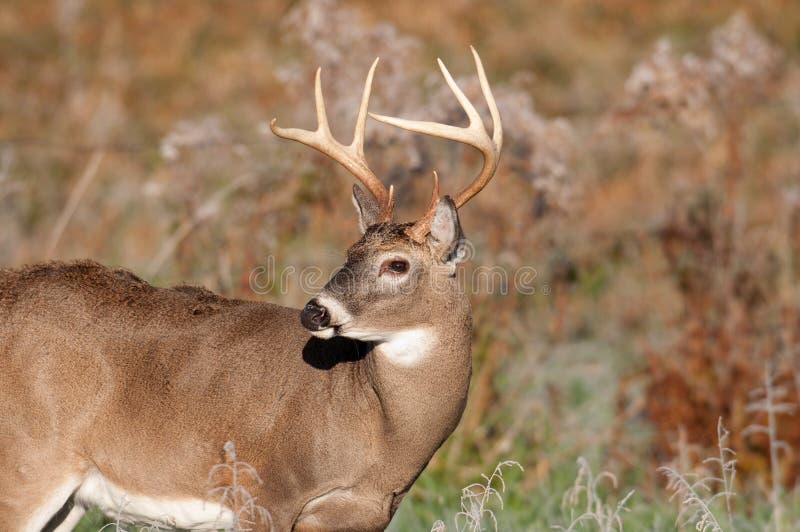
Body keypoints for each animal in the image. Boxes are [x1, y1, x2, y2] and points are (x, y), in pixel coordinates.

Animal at [0, 47, 502, 532]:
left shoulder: (364, 516)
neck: (376, 432)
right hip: (26, 459)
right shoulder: (263, 489)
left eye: (396, 264)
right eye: (350, 251)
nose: (314, 311)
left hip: (70, 498)